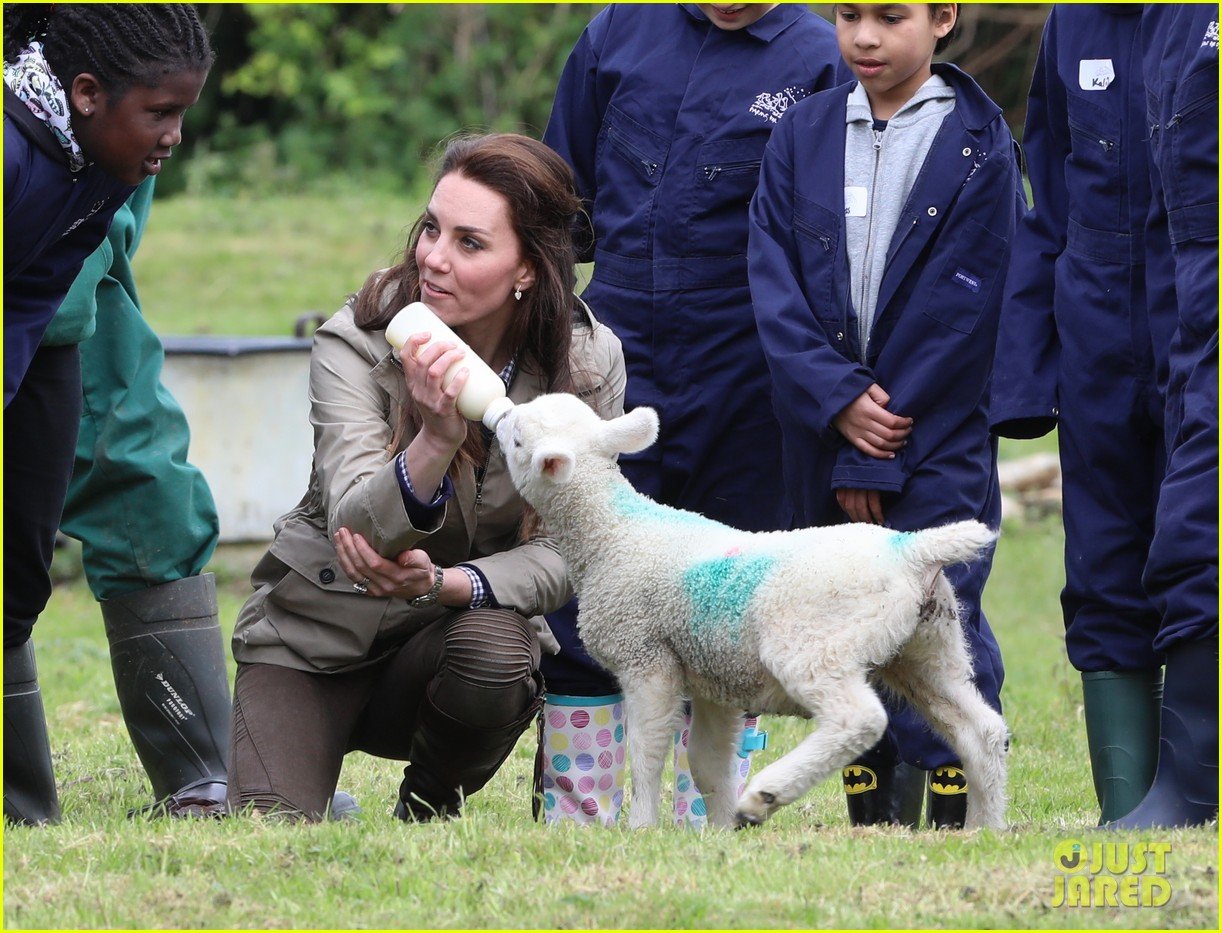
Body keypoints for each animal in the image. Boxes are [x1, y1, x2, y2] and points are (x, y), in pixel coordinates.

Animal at [497, 393, 1009, 830]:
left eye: (518, 439)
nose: (499, 416)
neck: (615, 530)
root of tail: (911, 550)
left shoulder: (645, 657)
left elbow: (647, 750)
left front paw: (643, 826)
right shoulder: (711, 676)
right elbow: (706, 763)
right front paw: (722, 828)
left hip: (814, 643)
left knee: (859, 719)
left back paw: (766, 795)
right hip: (927, 646)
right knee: (979, 728)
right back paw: (984, 828)